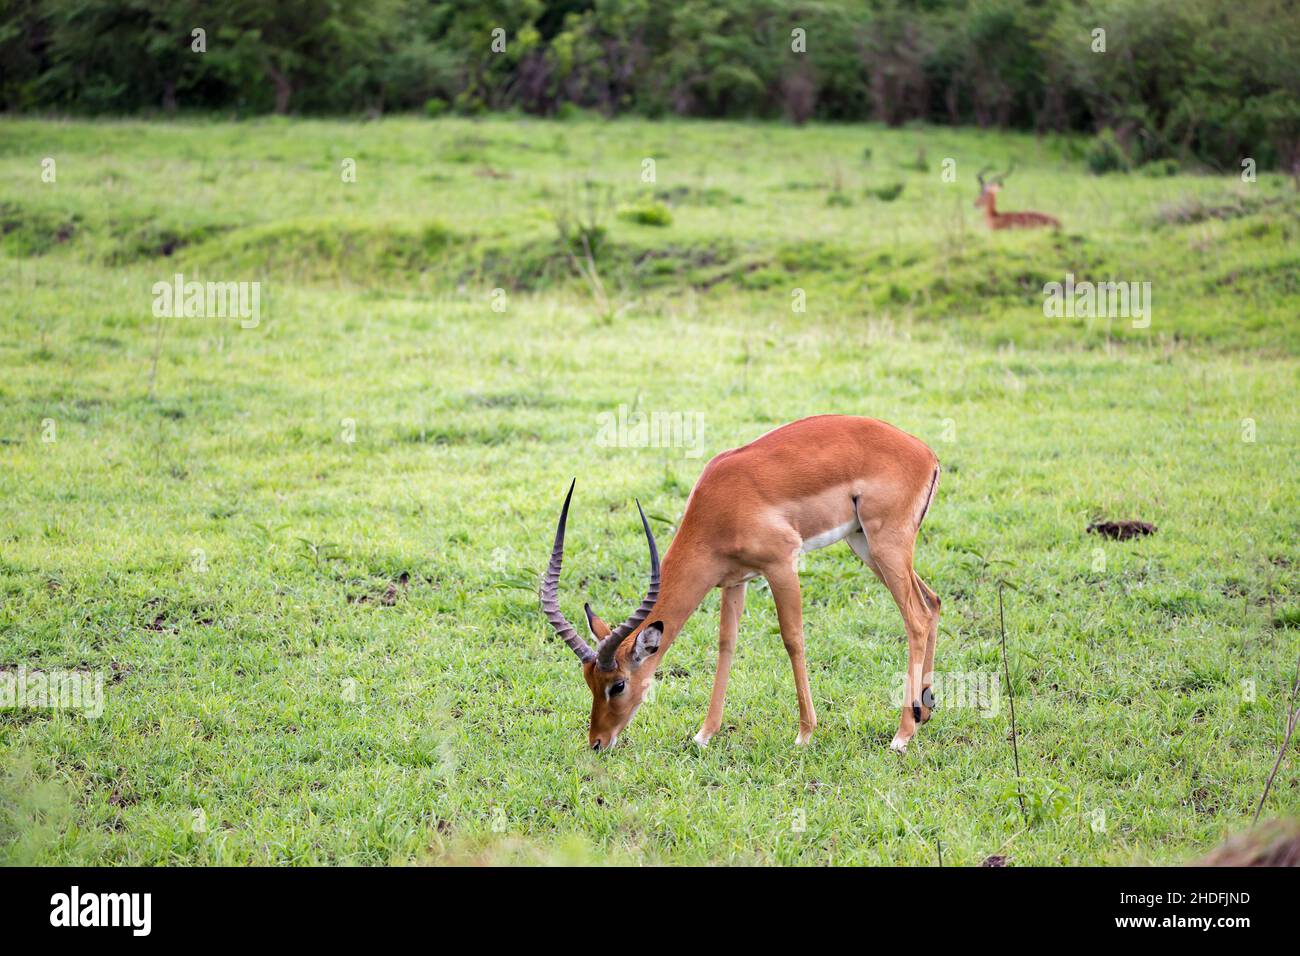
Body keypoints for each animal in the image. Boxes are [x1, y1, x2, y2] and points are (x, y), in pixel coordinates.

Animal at [539, 414, 942, 753]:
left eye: (618, 684)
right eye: (587, 679)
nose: (597, 742)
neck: (720, 503)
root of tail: (926, 453)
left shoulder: (782, 565)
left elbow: (793, 639)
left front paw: (804, 734)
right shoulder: (735, 581)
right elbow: (726, 645)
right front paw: (704, 734)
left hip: (885, 544)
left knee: (916, 619)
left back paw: (902, 735)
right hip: (865, 545)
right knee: (933, 601)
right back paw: (924, 711)